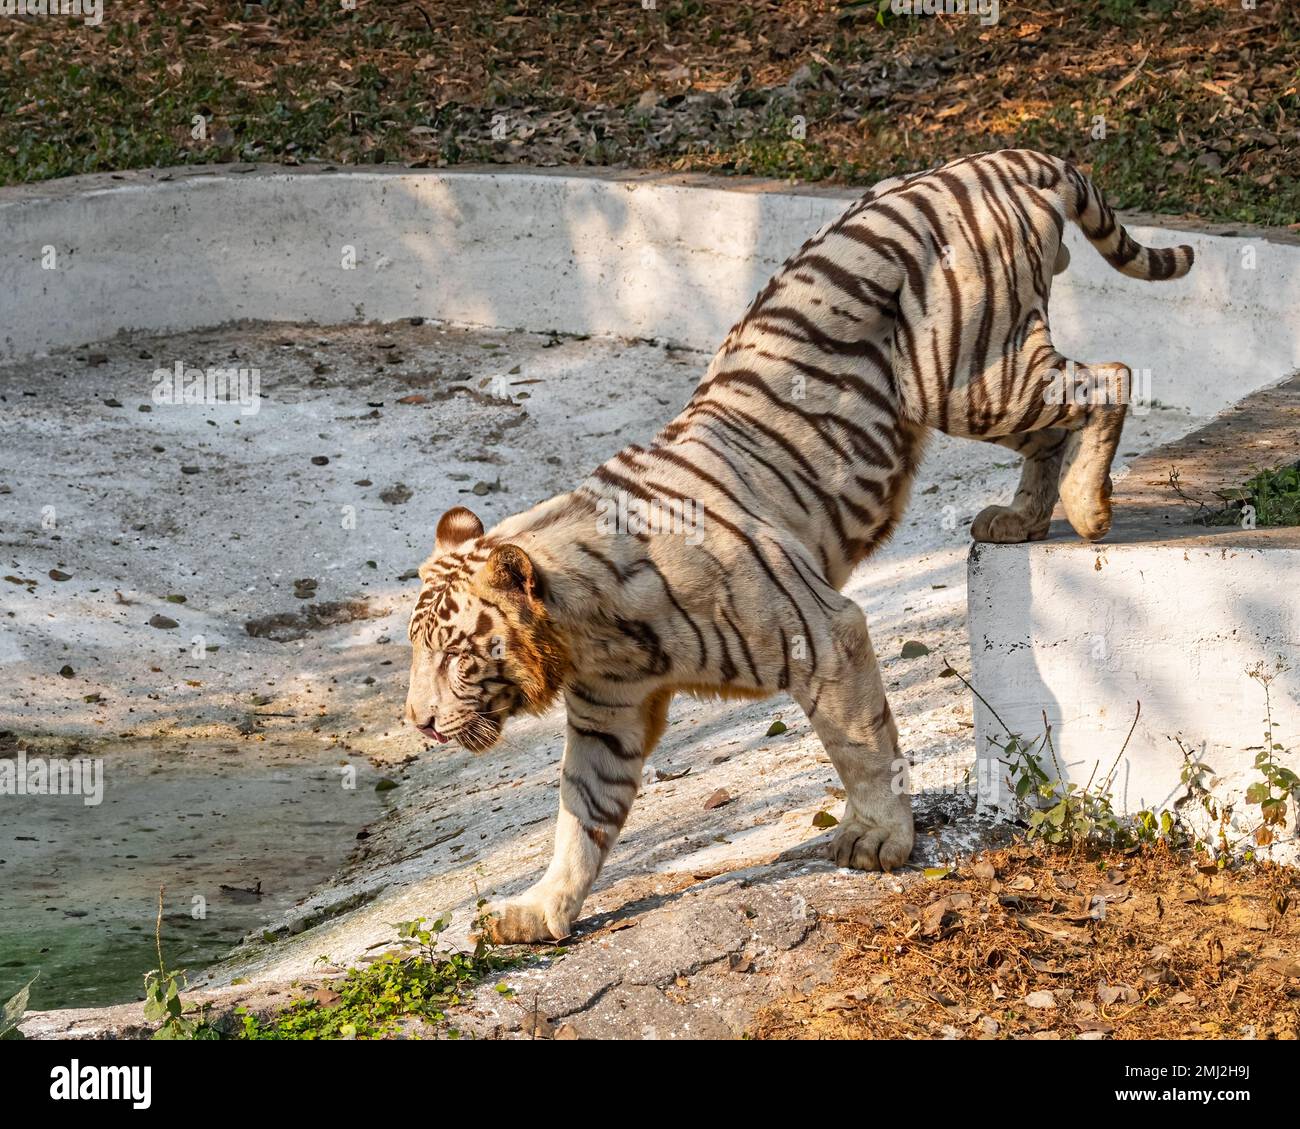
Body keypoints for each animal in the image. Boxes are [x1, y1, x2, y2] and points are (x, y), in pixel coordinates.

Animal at [405, 148, 1194, 943]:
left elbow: (861, 745)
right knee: (1057, 424)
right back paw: (1021, 519)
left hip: (966, 376)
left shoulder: (820, 633)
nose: (419, 723)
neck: (591, 633)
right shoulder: (608, 714)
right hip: (977, 384)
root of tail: (996, 159)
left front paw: (876, 840)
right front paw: (539, 909)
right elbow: (579, 815)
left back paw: (1089, 508)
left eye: (455, 655)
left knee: (1108, 378)